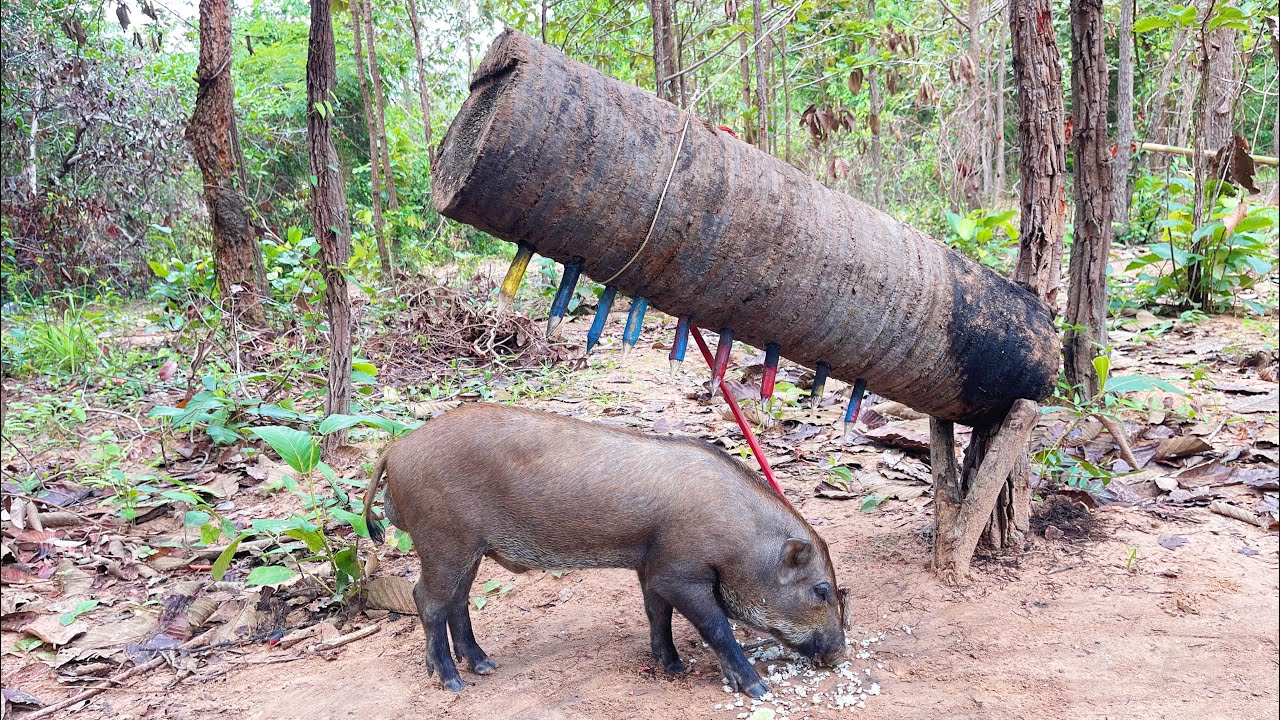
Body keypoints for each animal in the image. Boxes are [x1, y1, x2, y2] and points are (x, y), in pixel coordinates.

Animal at [360, 403, 848, 697]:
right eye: (822, 590)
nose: (840, 655)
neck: (738, 539)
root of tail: (395, 449)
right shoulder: (679, 572)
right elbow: (718, 628)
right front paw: (758, 689)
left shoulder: (651, 568)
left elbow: (657, 615)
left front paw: (672, 667)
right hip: (444, 539)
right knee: (427, 599)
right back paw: (452, 682)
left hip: (470, 549)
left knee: (458, 601)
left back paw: (484, 666)